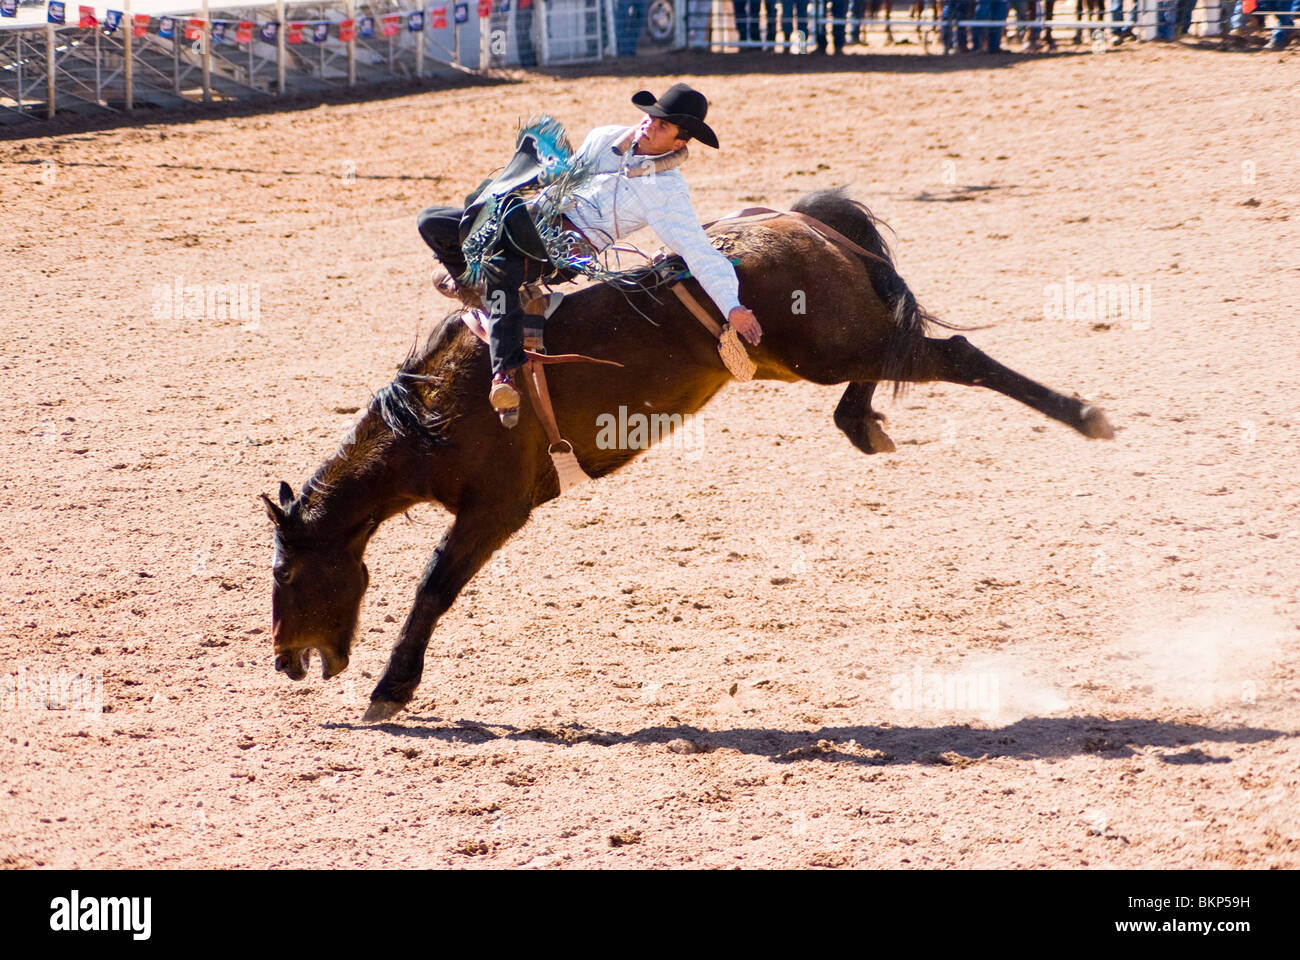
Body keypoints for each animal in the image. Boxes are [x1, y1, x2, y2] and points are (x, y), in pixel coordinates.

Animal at [260, 188, 1113, 722]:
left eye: (289, 577)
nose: (286, 664)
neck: (434, 415)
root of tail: (800, 220)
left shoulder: (497, 508)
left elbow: (434, 586)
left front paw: (391, 690)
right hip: (808, 354)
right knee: (894, 361)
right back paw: (864, 423)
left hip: (831, 346)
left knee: (954, 354)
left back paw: (1086, 415)